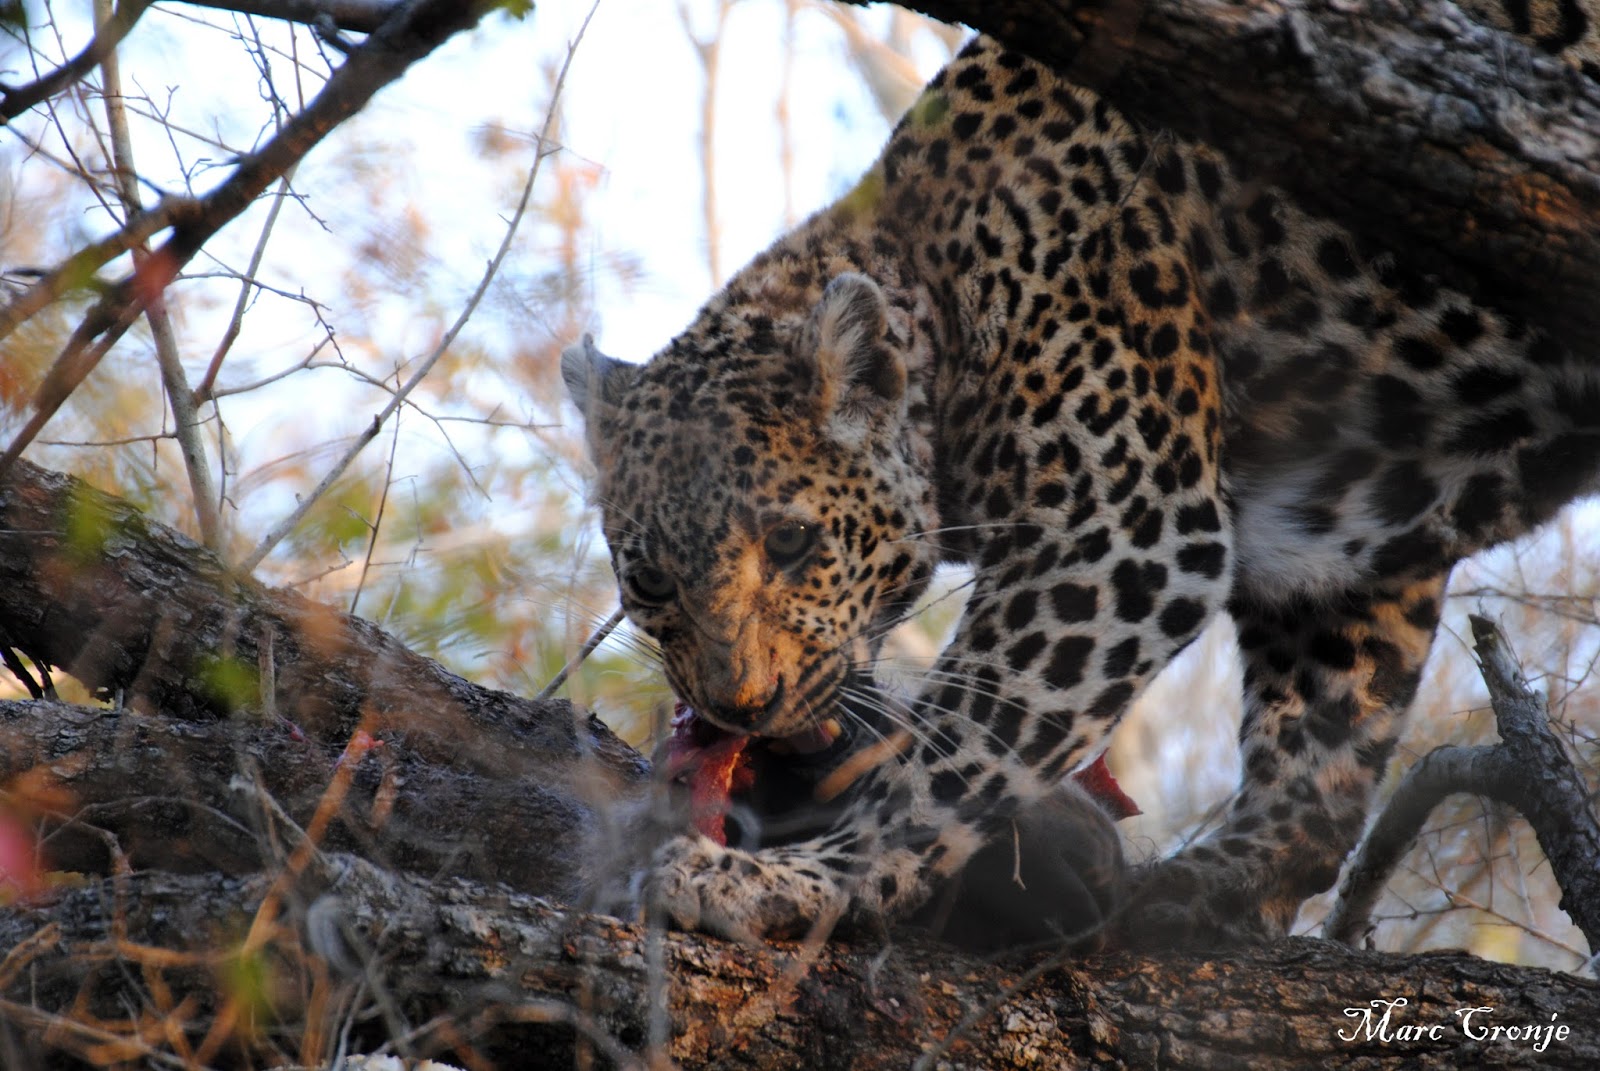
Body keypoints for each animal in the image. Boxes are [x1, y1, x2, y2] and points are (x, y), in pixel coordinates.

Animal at [563, 7, 1600, 947]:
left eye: (790, 542)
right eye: (648, 580)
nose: (738, 706)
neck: (940, 279)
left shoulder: (1122, 530)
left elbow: (956, 749)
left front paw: (803, 880)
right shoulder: (1338, 540)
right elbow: (1324, 757)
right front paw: (1216, 889)